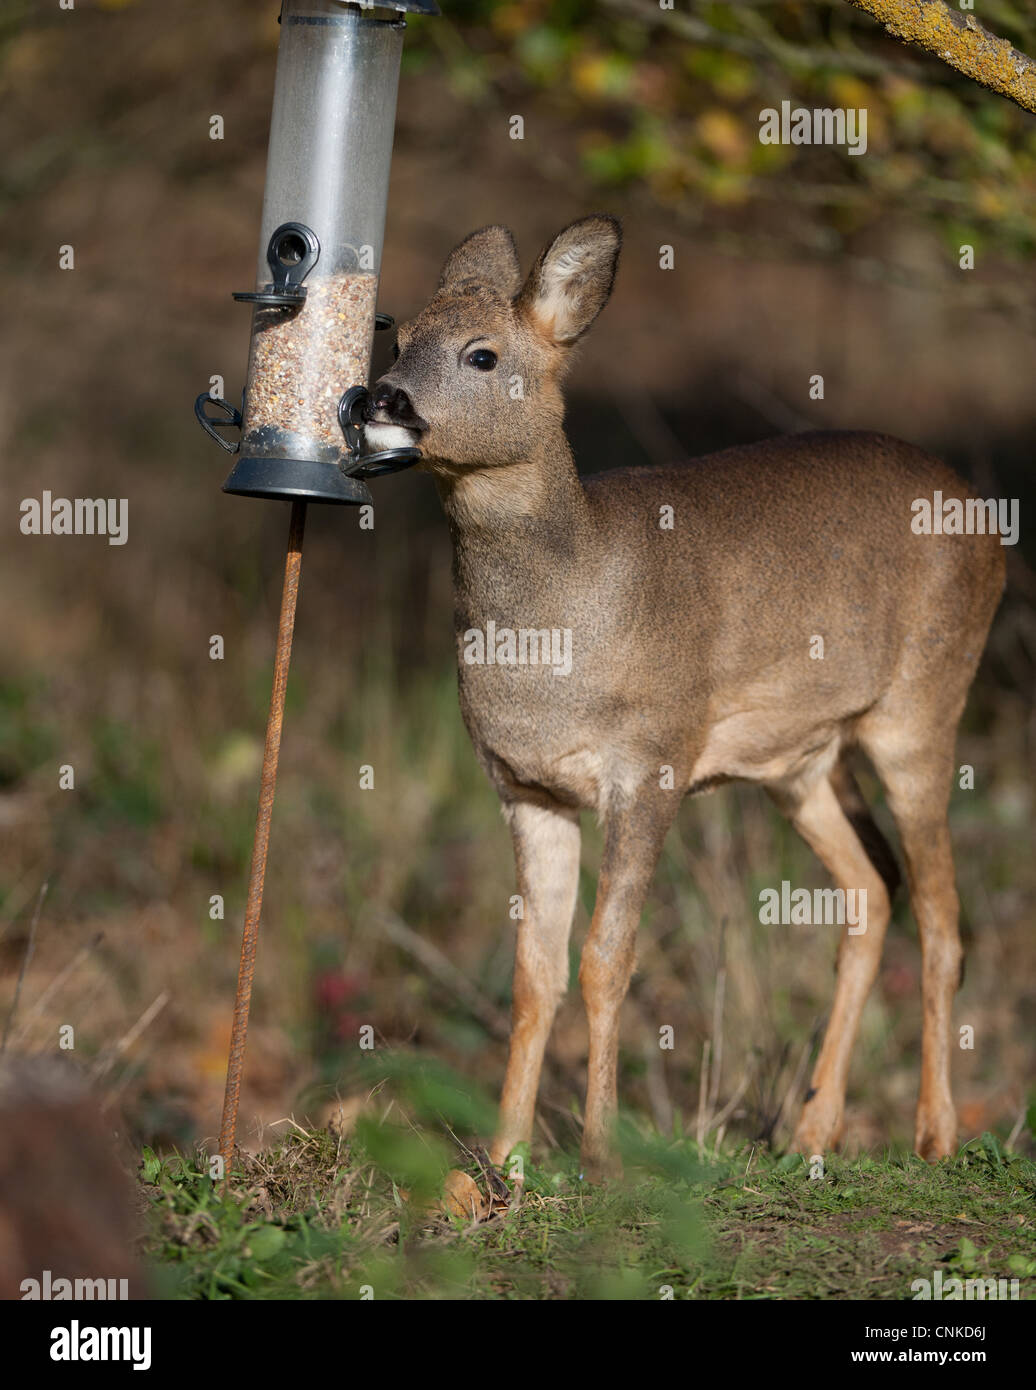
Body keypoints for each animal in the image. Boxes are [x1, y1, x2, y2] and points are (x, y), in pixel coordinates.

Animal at [363, 215, 1006, 1182]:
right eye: (397, 336)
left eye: (482, 354)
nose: (382, 398)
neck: (560, 622)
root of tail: (989, 520)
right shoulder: (526, 787)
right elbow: (533, 971)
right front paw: (501, 1163)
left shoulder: (652, 761)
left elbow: (606, 957)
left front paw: (601, 1155)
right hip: (802, 762)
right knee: (873, 887)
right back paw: (812, 1132)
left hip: (922, 704)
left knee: (941, 914)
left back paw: (935, 1136)